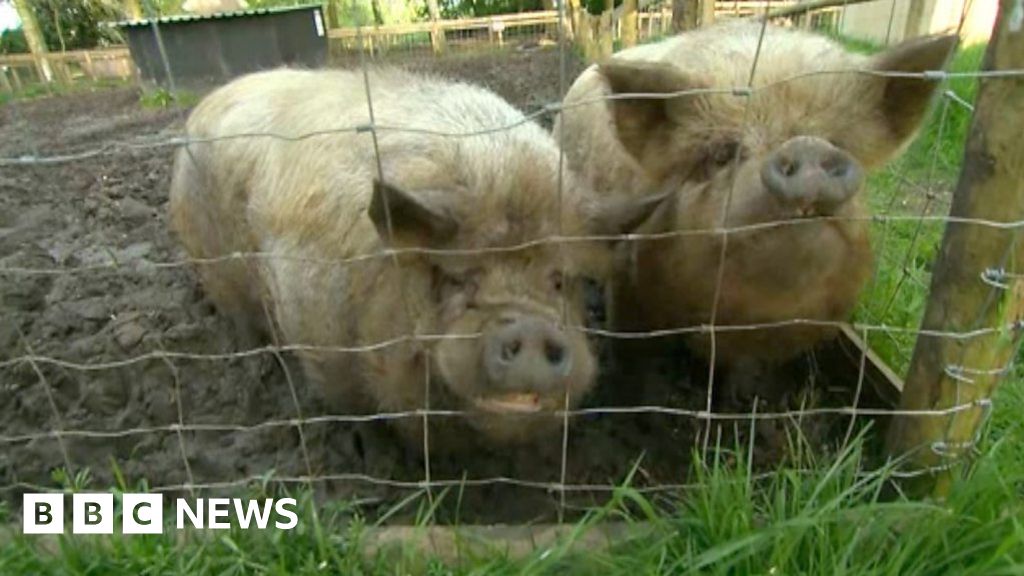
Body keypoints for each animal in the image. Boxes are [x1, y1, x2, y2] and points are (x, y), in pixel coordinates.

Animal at [169, 68, 663, 449]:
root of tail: (205, 104)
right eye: (457, 277)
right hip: (212, 263)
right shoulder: (316, 331)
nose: (530, 326)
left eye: (560, 280)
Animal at [554, 22, 956, 401]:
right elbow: (632, 361)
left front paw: (741, 400)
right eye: (723, 153)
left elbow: (739, 370)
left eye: (838, 143)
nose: (807, 146)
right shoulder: (628, 286)